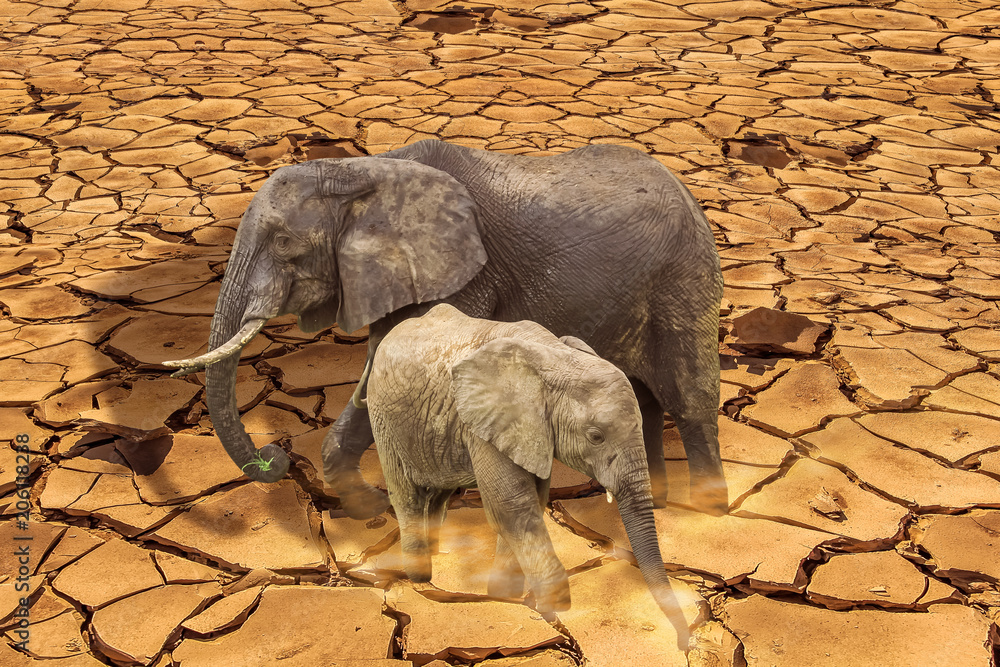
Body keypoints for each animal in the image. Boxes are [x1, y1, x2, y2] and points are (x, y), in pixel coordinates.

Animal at [164, 138, 726, 517]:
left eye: (283, 243)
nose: (273, 457)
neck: (360, 170)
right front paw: (370, 510)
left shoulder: (465, 274)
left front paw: (375, 507)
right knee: (642, 396)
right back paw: (659, 504)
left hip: (683, 276)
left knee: (688, 397)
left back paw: (706, 512)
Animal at [368, 303, 700, 643]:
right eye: (596, 436)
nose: (683, 642)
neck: (556, 358)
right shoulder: (484, 423)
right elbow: (512, 503)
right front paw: (555, 603)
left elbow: (534, 499)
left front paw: (503, 594)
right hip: (383, 419)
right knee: (406, 495)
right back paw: (420, 576)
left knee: (438, 494)